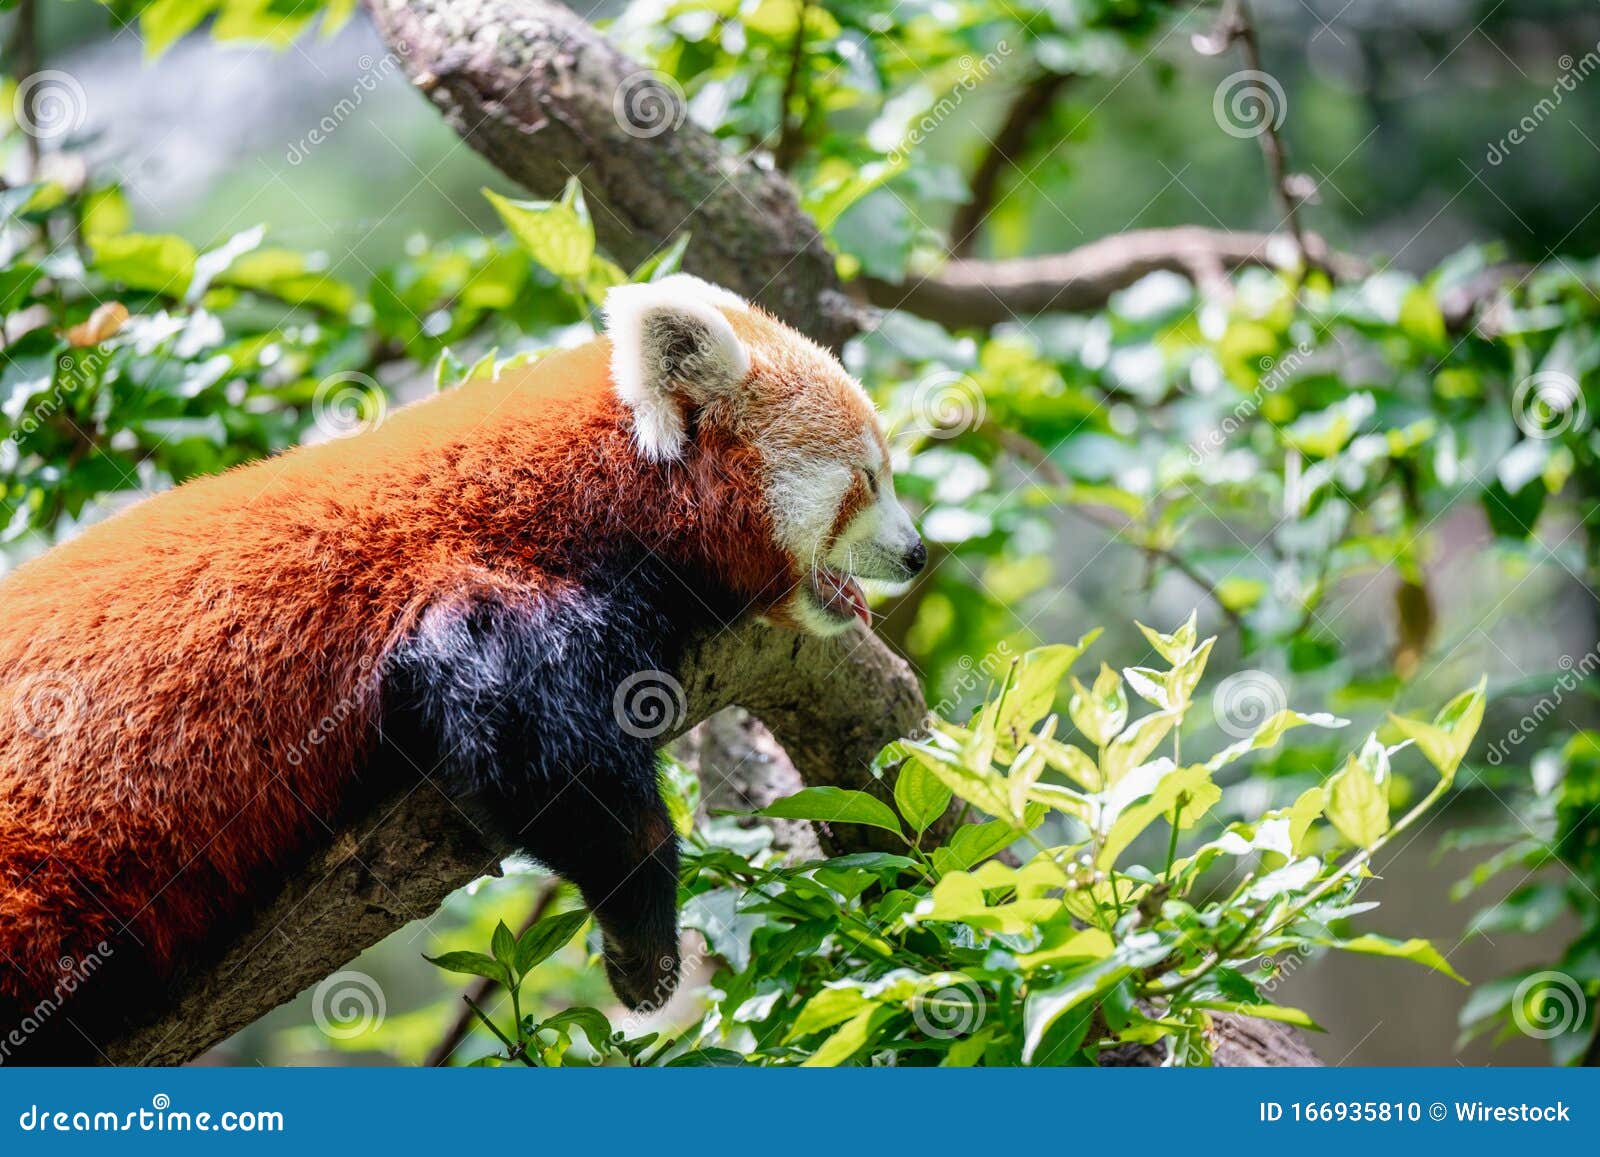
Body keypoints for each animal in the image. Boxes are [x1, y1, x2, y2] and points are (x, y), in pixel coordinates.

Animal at [0, 275, 925, 1061]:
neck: (586, 491)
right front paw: (642, 935)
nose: (919, 553)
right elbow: (544, 750)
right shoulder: (478, 585)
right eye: (868, 477)